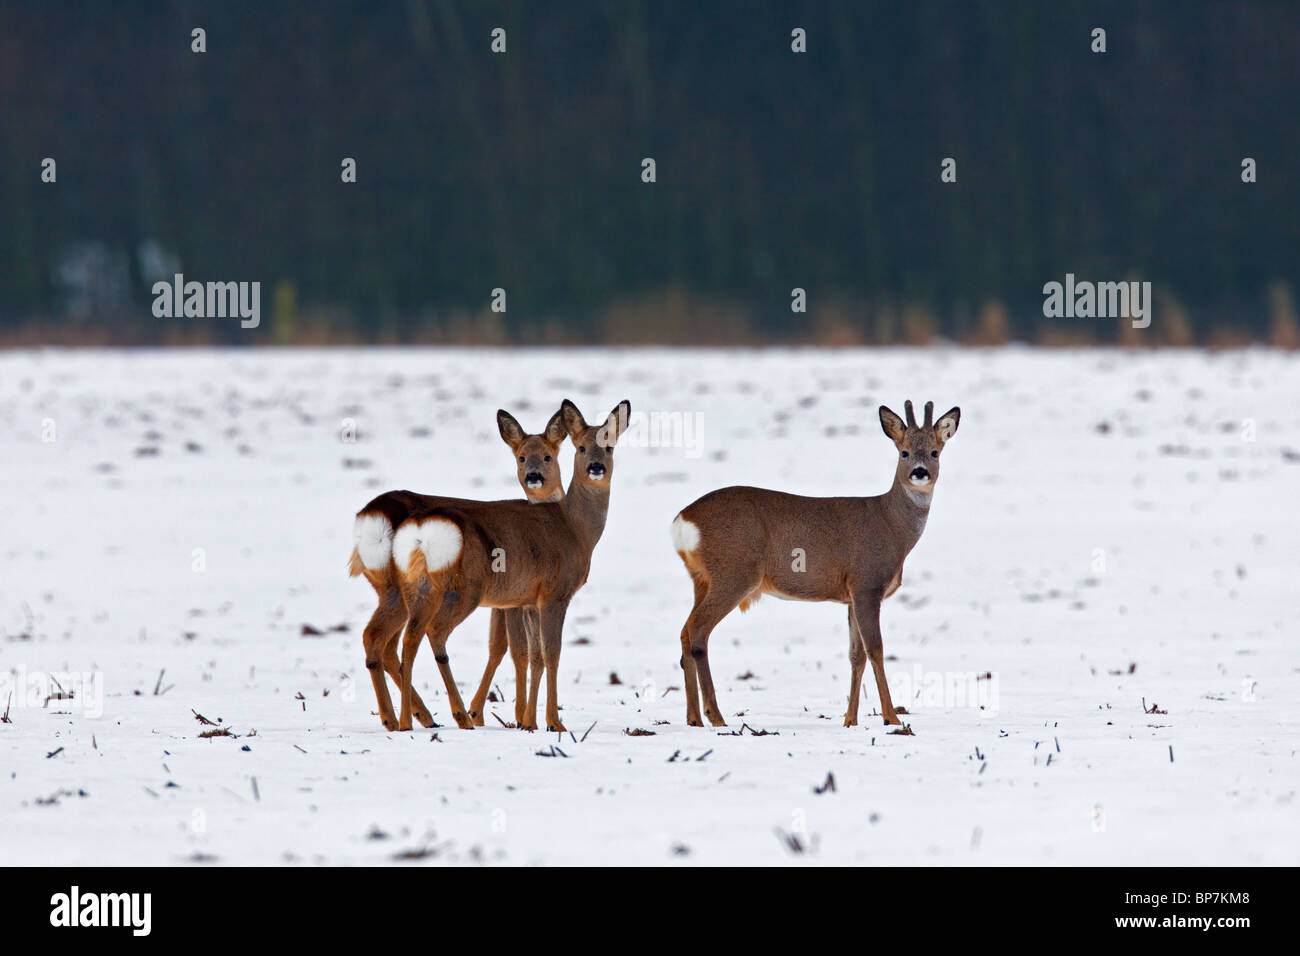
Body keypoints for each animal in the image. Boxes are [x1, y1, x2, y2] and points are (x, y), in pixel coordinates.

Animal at [348, 407, 566, 731]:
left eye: (549, 455)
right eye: (522, 456)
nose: (534, 477)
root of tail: (371, 517)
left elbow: (501, 646)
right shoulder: (513, 596)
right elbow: (513, 649)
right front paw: (513, 717)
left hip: (389, 588)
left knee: (378, 640)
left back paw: (405, 717)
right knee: (393, 641)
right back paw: (431, 716)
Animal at [390, 399, 630, 732]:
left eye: (609, 447)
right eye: (581, 447)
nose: (597, 467)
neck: (575, 529)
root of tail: (421, 531)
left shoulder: (529, 598)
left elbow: (534, 655)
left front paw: (529, 721)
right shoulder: (555, 593)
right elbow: (552, 653)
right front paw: (554, 723)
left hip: (419, 586)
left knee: (409, 638)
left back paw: (407, 722)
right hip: (465, 588)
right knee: (434, 632)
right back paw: (460, 716)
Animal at [670, 400, 960, 728]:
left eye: (935, 452)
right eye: (904, 452)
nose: (920, 472)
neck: (891, 525)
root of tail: (683, 520)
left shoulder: (850, 595)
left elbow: (856, 655)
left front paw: (850, 720)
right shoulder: (867, 582)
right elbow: (876, 648)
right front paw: (891, 718)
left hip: (702, 578)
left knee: (684, 631)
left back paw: (694, 718)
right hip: (735, 572)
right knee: (698, 630)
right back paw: (715, 716)